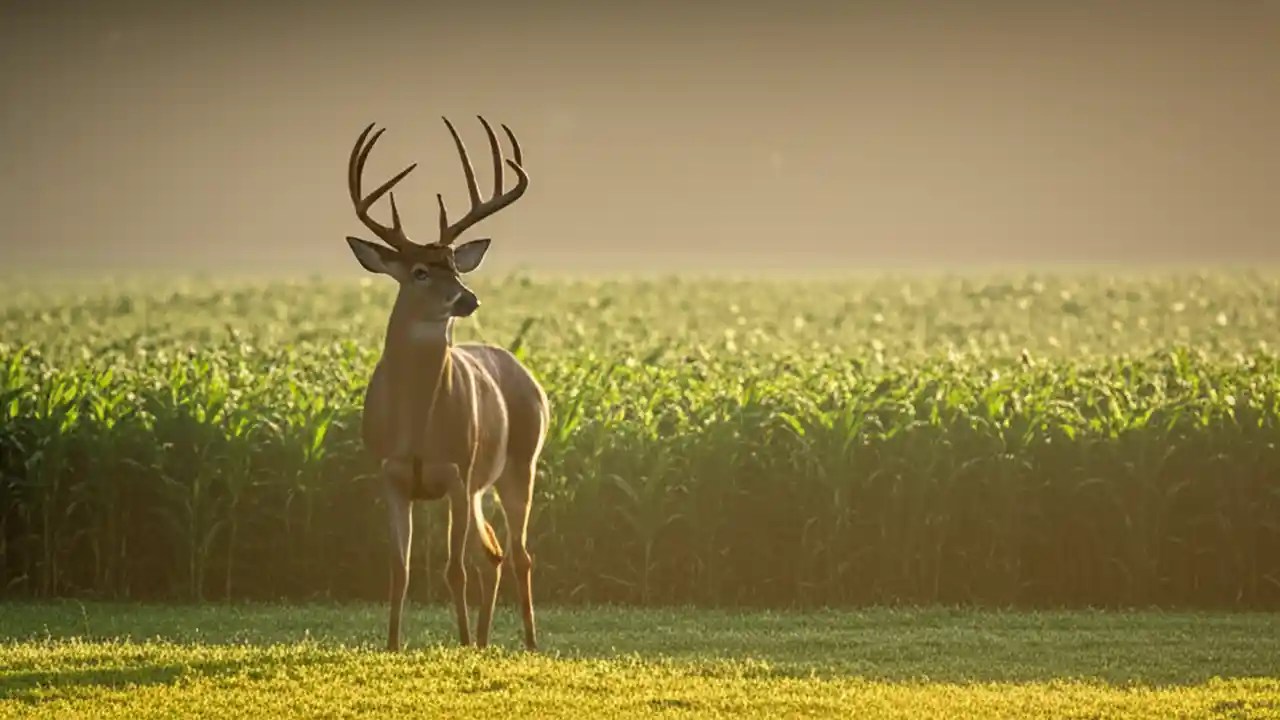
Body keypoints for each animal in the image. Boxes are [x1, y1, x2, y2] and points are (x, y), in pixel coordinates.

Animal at [343, 116, 549, 652]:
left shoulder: (457, 471)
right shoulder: (391, 475)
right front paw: (393, 645)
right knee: (493, 552)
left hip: (519, 463)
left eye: (455, 266)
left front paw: (458, 641)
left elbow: (454, 569)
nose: (467, 298)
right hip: (481, 485)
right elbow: (399, 570)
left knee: (518, 554)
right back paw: (485, 641)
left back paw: (525, 642)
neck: (418, 426)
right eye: (418, 271)